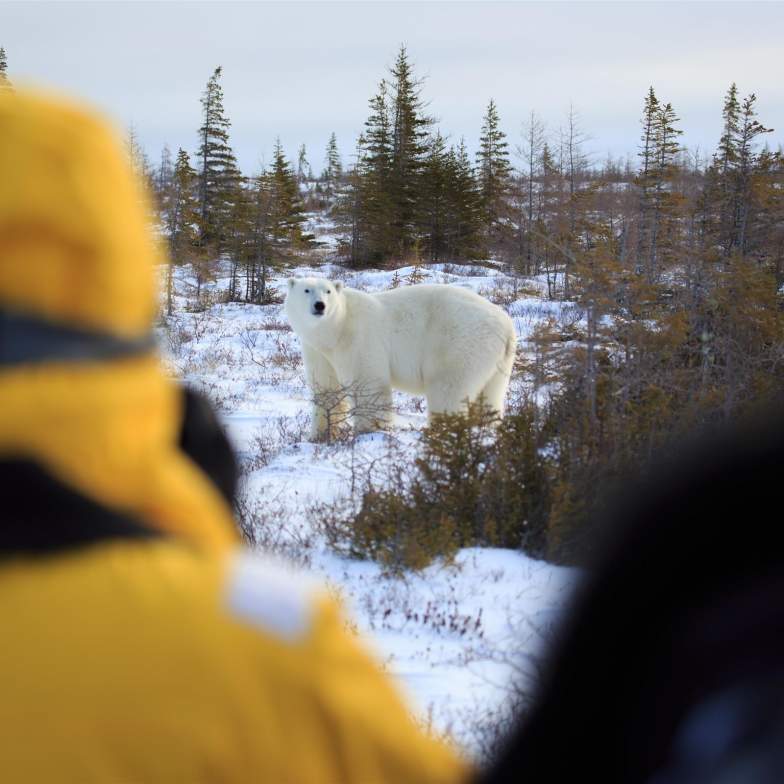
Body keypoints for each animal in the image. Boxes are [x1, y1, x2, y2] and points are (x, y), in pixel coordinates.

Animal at [285, 277, 517, 441]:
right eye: (306, 290)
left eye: (328, 291)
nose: (320, 305)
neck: (335, 329)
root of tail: (507, 325)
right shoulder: (317, 350)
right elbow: (326, 389)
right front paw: (320, 434)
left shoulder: (360, 337)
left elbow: (368, 383)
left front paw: (369, 431)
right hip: (497, 360)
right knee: (489, 395)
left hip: (460, 342)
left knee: (448, 387)